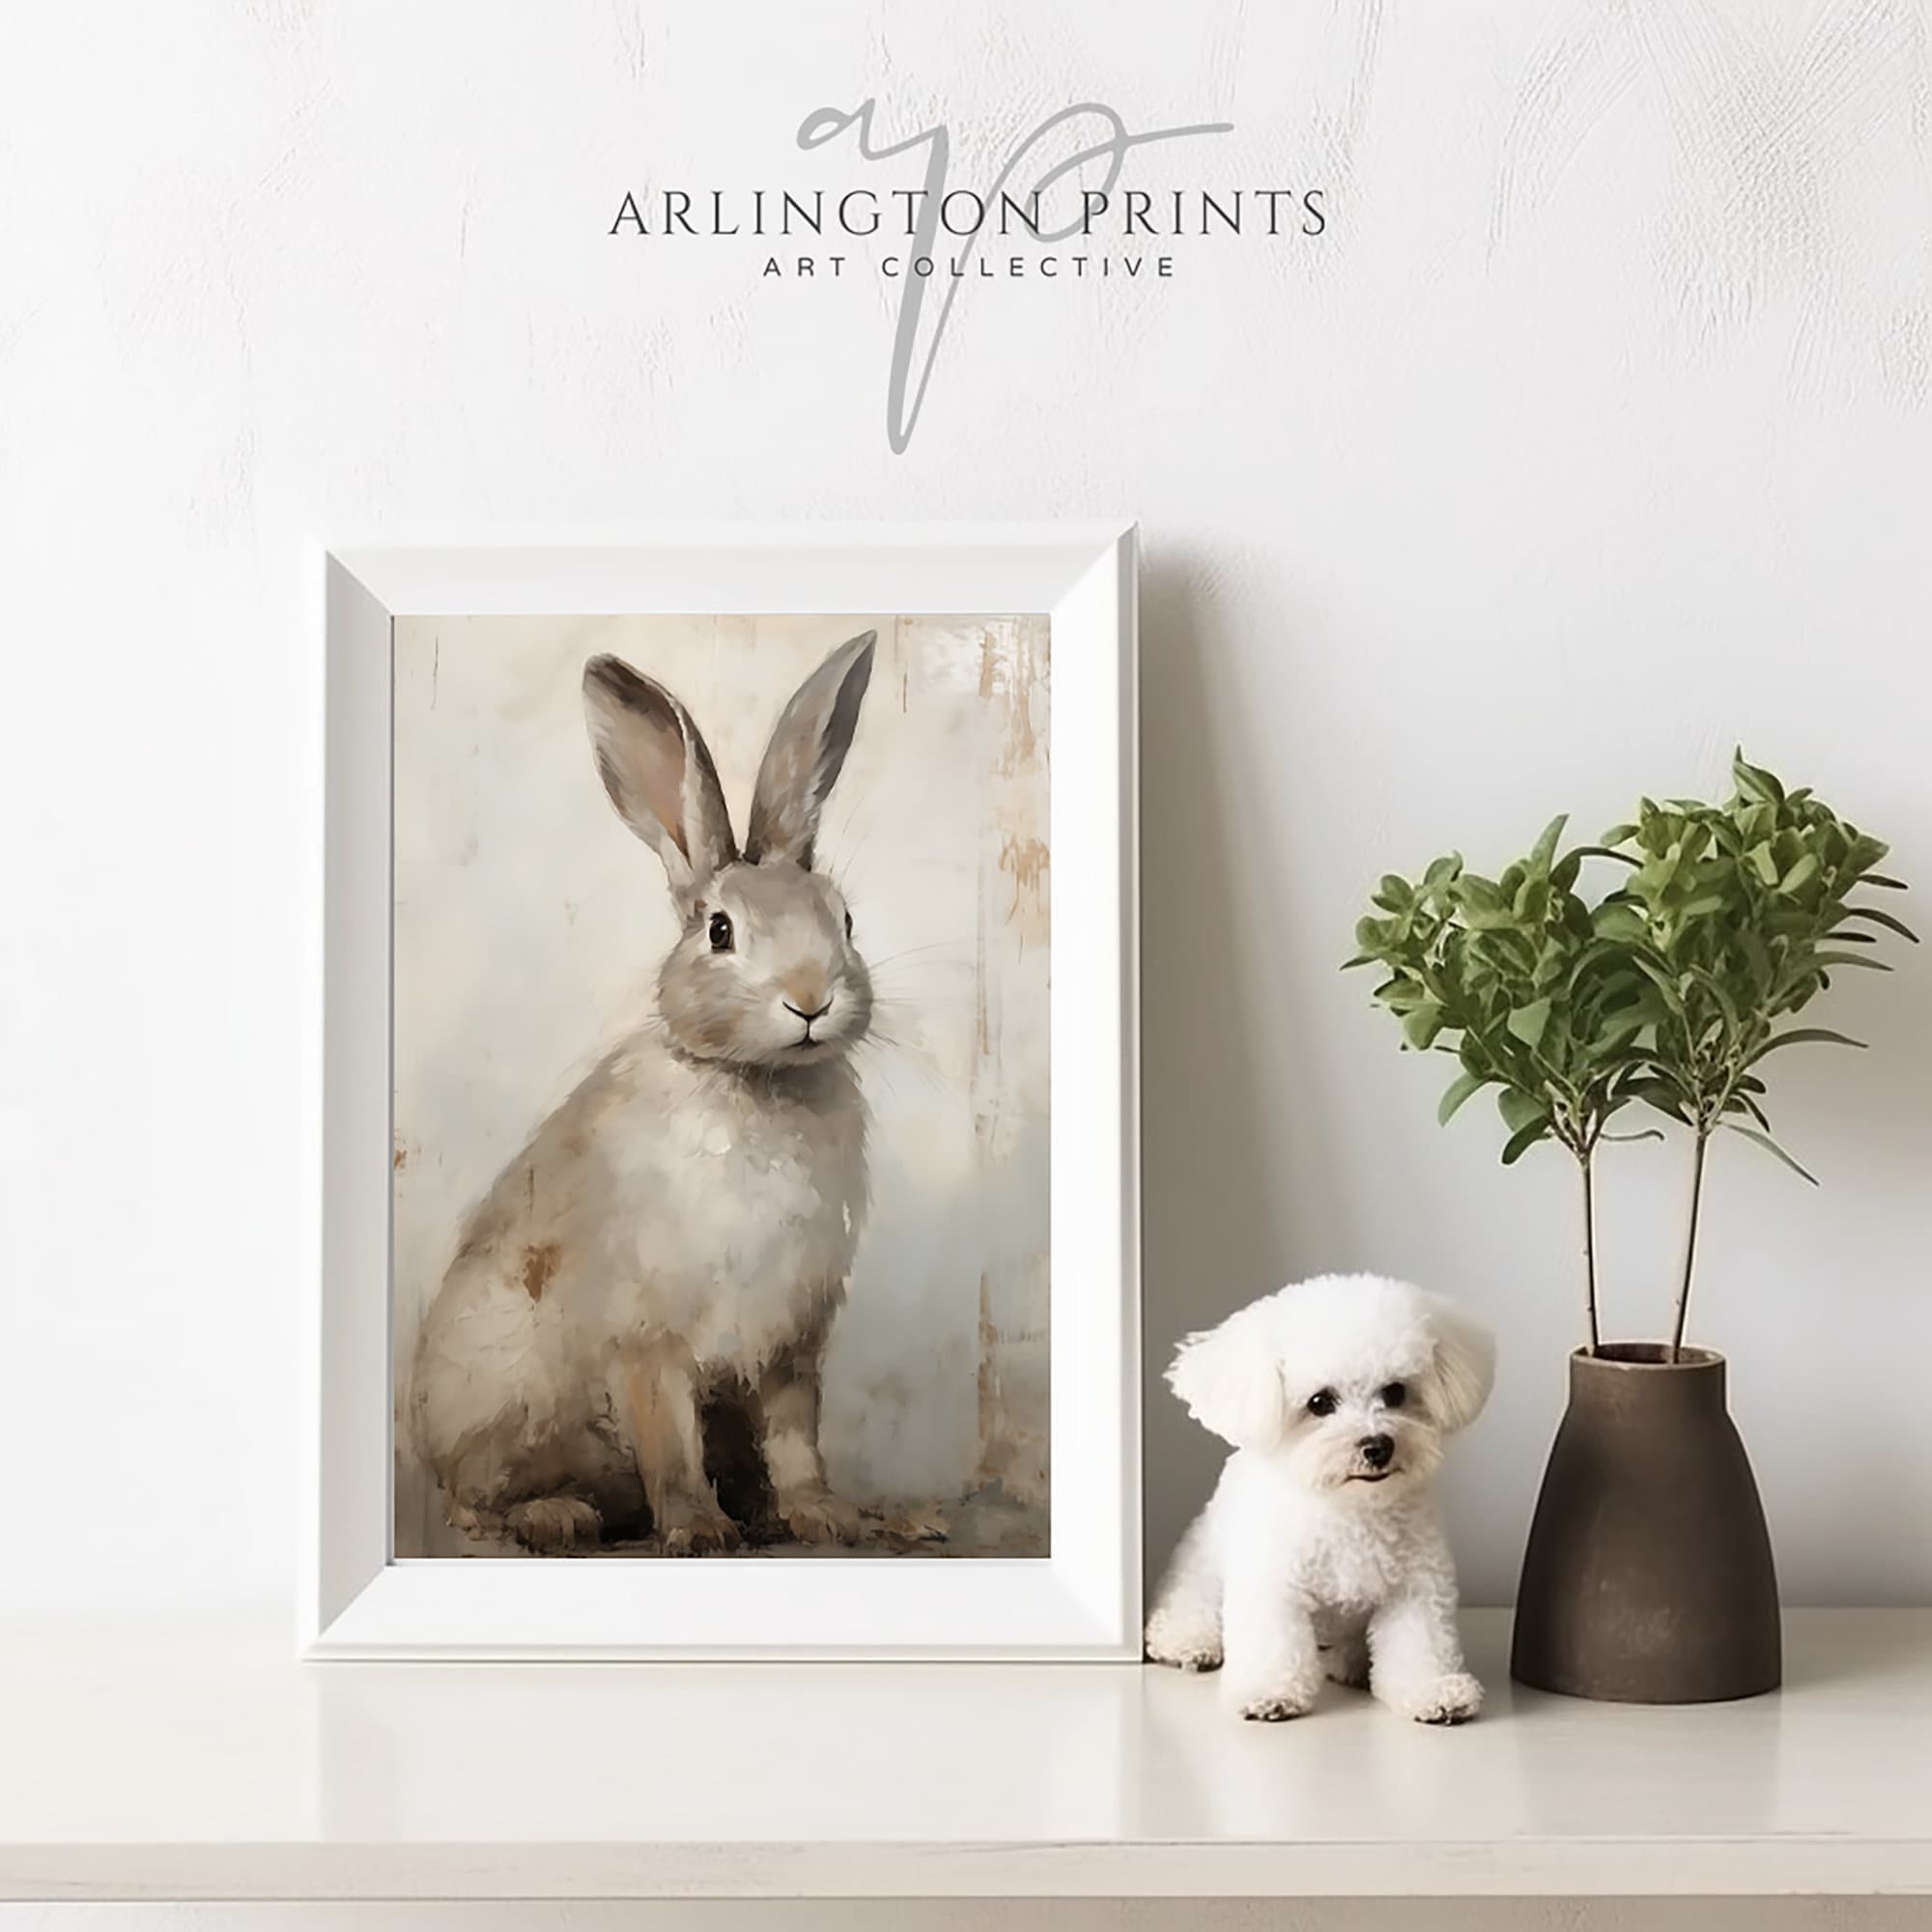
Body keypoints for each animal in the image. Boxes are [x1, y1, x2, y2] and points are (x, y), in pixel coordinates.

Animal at [410, 629, 879, 1556]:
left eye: (844, 922)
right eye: (720, 931)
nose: (810, 1000)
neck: (753, 1083)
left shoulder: (792, 1342)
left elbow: (795, 1438)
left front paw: (823, 1515)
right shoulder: (646, 1339)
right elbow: (668, 1439)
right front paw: (697, 1531)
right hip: (496, 1402)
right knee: (470, 1501)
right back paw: (558, 1515)